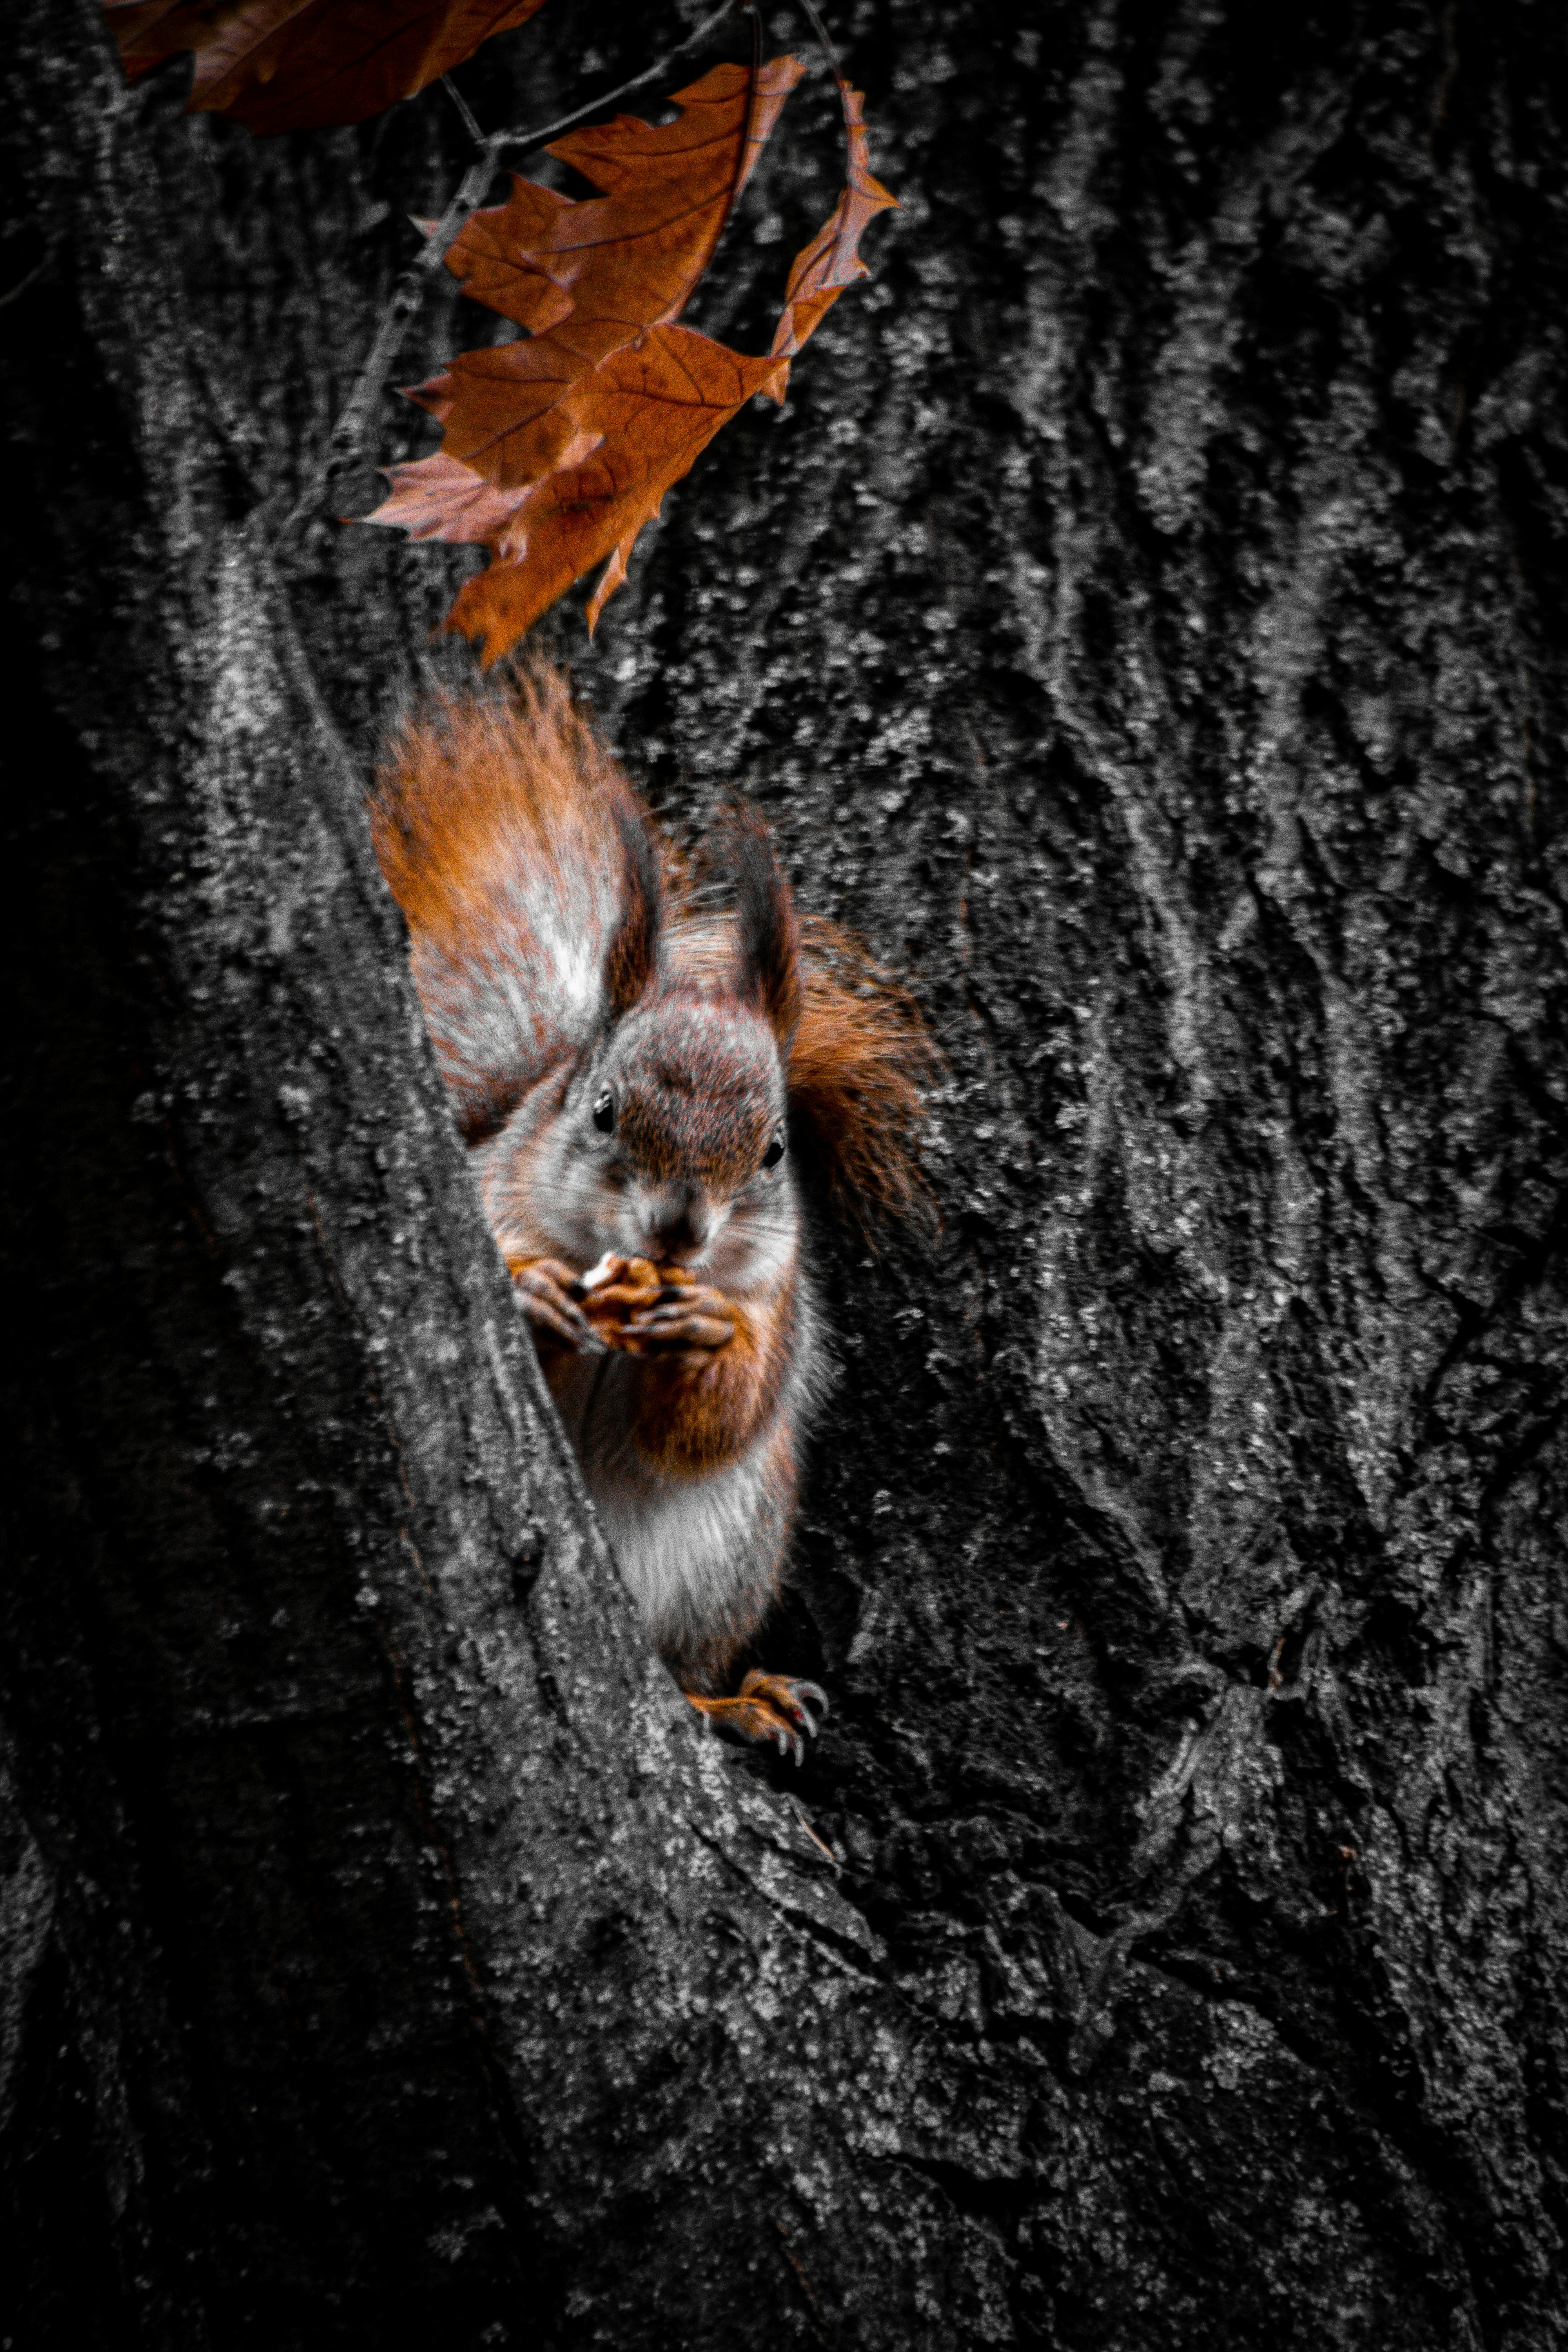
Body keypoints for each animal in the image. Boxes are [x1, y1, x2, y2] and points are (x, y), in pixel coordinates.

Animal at [372, 666, 932, 1759]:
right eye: (601, 1109)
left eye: (774, 1149)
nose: (679, 1231)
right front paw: (535, 1295)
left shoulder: (778, 1298)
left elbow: (719, 1420)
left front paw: (703, 1339)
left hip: (723, 1557)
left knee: (681, 1666)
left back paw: (730, 1703)